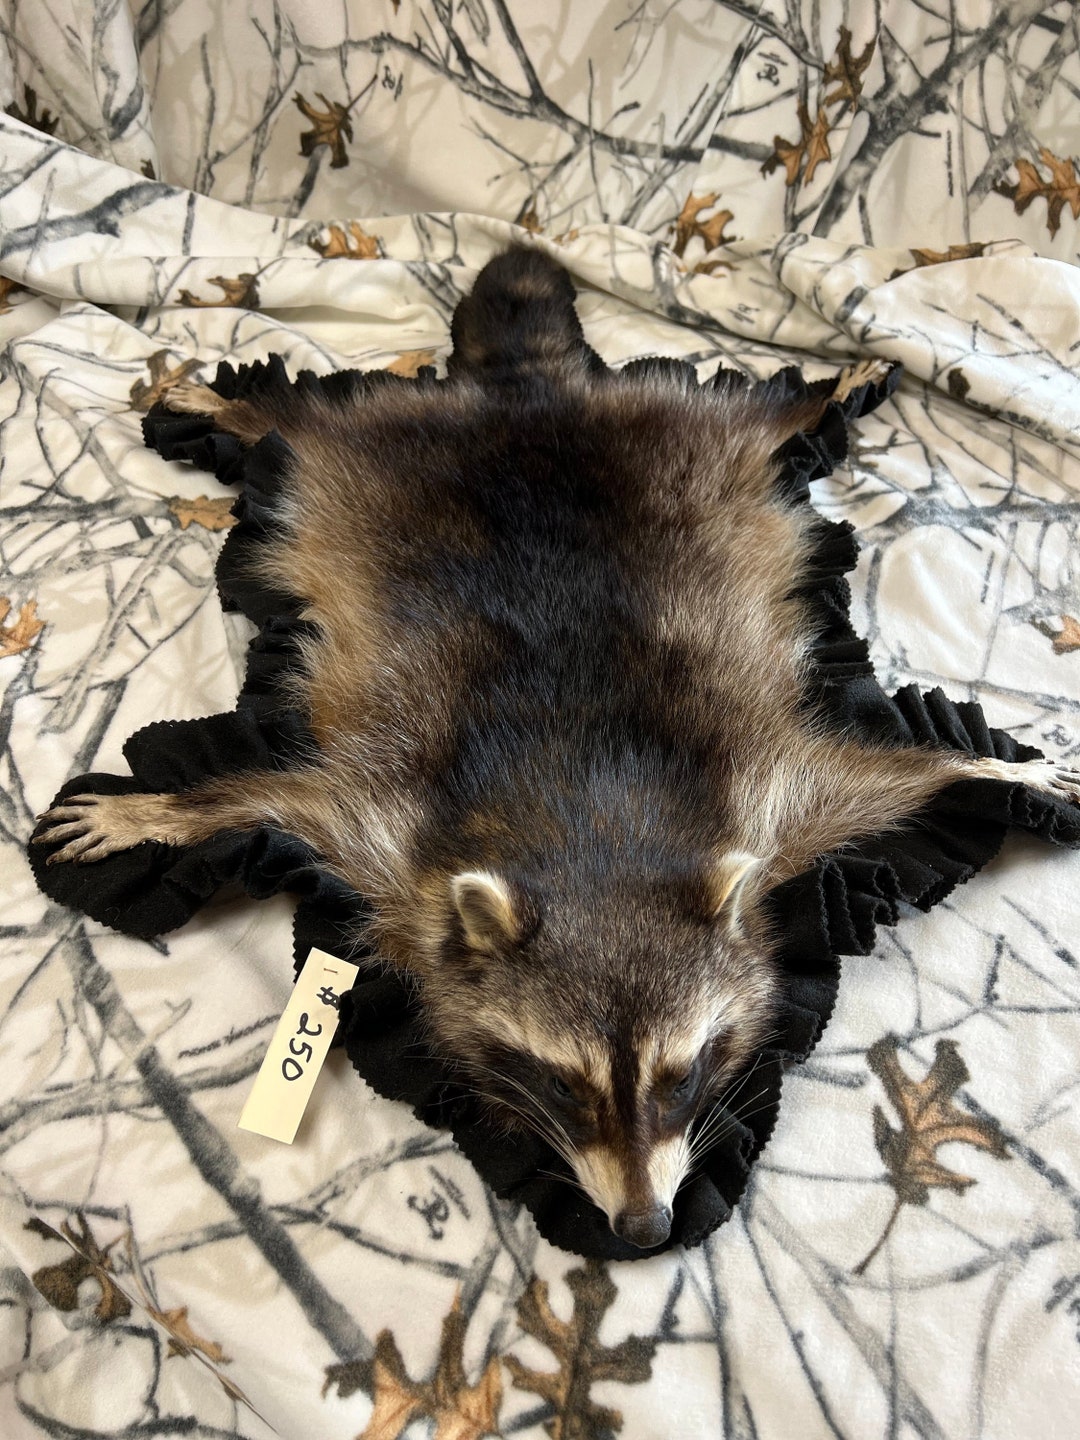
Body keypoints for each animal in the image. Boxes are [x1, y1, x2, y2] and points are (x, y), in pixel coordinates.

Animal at [34, 248, 1080, 1250]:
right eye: (563, 1083)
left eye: (680, 1074)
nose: (643, 1228)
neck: (595, 845)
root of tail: (526, 389)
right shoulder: (394, 831)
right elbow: (281, 799)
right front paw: (163, 808)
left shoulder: (766, 795)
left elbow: (889, 777)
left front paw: (996, 765)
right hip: (379, 451)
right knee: (310, 427)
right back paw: (243, 409)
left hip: (688, 444)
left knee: (755, 423)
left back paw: (817, 396)